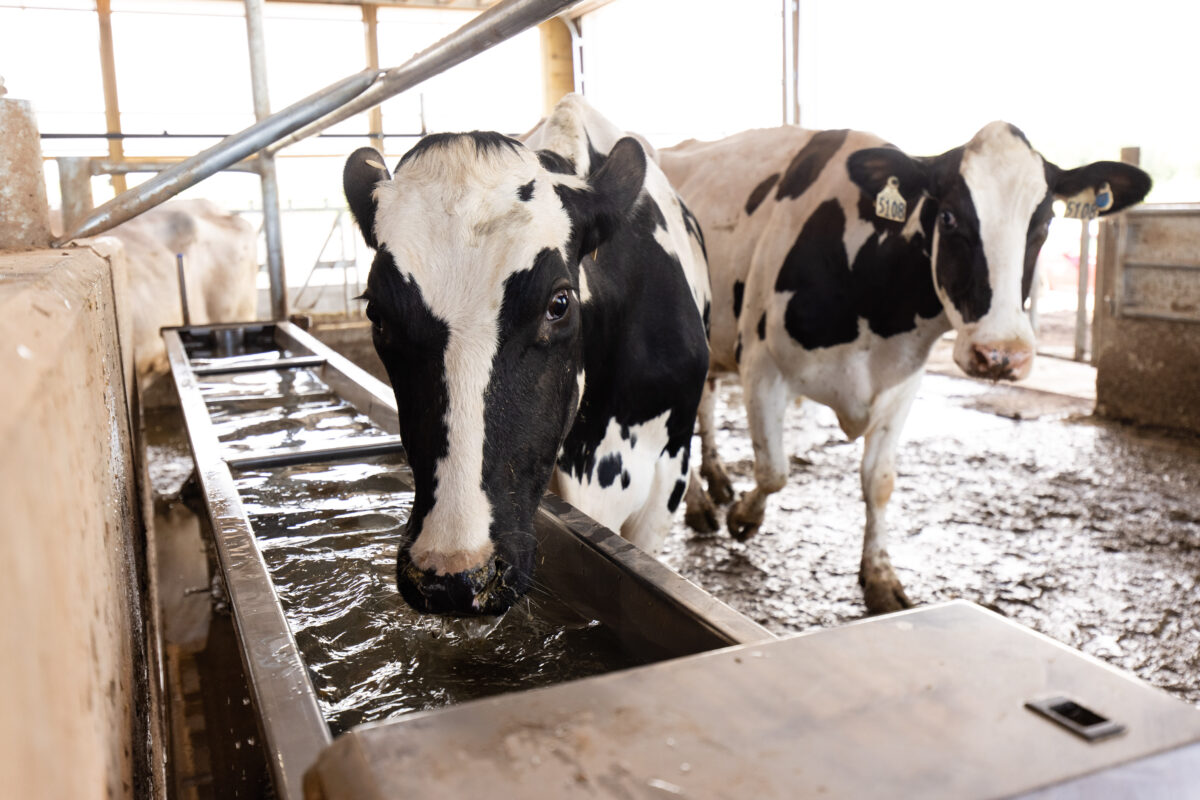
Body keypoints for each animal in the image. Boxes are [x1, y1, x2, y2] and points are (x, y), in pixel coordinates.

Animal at [660, 122, 1151, 614]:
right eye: (949, 218)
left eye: (1045, 222)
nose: (1001, 354)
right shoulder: (763, 367)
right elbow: (773, 470)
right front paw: (745, 516)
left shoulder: (901, 384)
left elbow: (879, 482)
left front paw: (879, 577)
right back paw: (700, 504)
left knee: (705, 404)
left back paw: (717, 480)